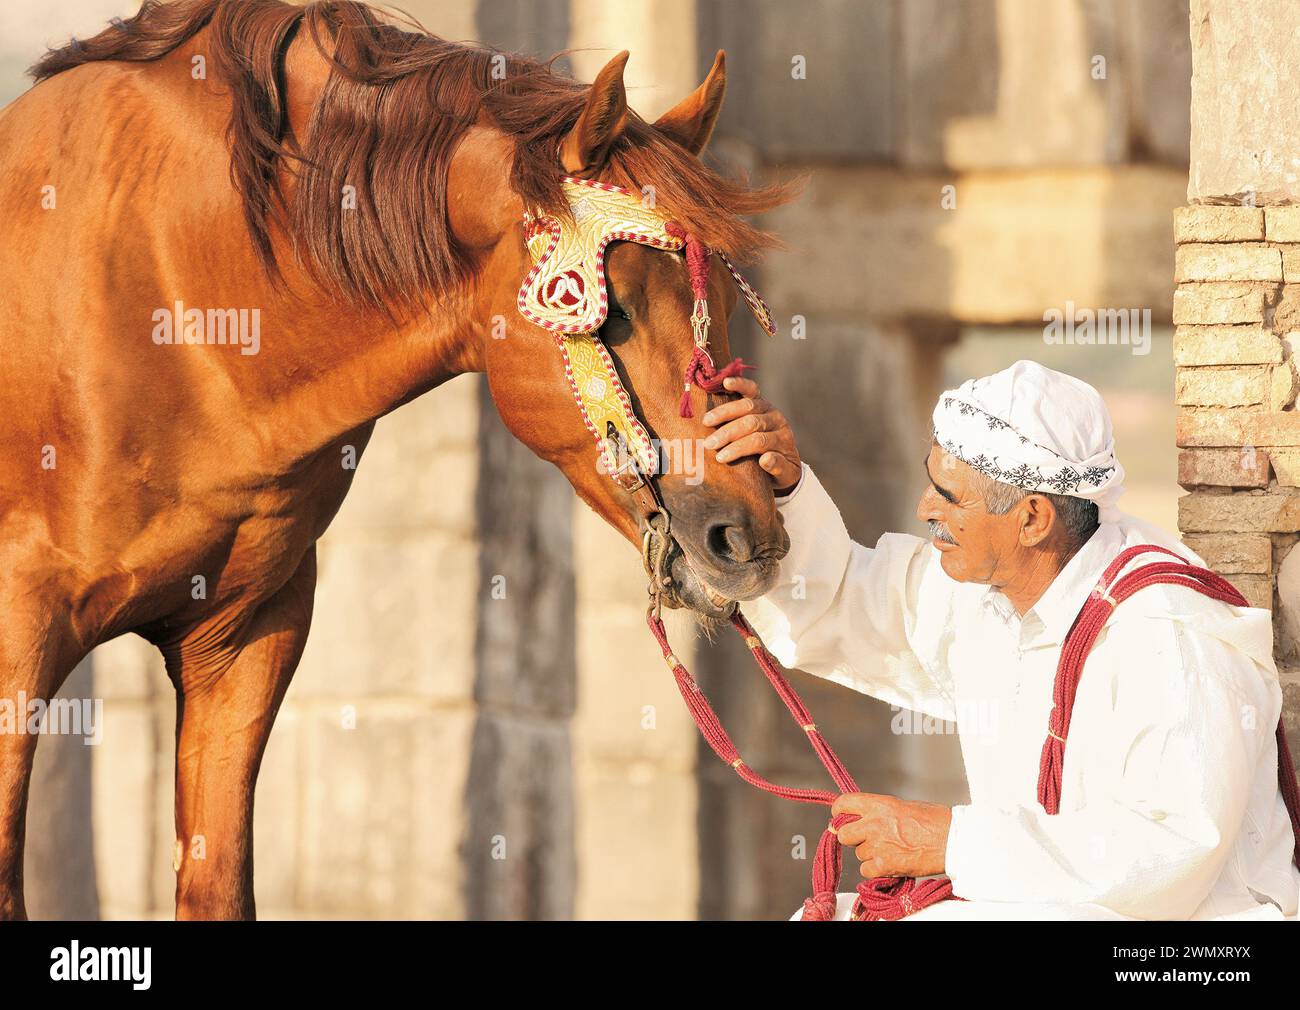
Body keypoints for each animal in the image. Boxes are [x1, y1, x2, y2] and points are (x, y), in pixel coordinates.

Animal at [0, 0, 798, 919]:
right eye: (617, 307)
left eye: (724, 308)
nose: (747, 536)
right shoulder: (20, 629)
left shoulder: (241, 641)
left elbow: (219, 883)